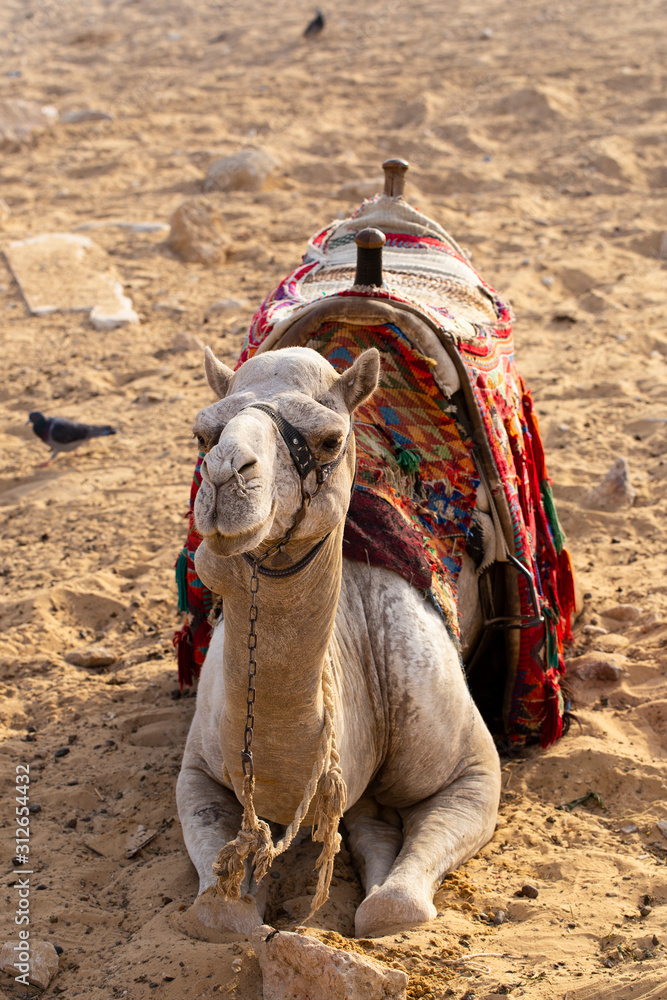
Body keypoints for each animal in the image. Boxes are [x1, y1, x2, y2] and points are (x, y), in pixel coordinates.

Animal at [176, 343, 502, 939]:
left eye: (330, 439)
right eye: (203, 435)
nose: (227, 475)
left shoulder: (473, 772)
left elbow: (393, 908)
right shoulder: (197, 774)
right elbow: (220, 911)